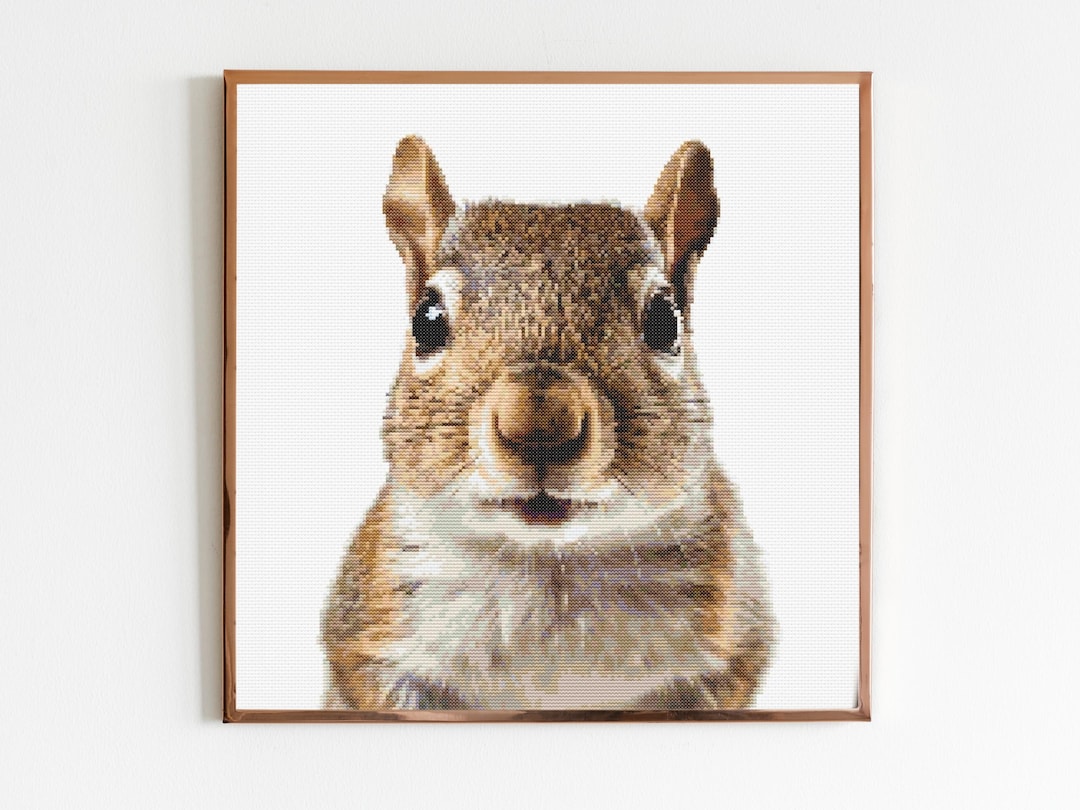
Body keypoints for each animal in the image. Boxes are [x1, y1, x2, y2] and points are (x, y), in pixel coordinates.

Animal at [322, 136, 774, 711]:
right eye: (427, 320)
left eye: (664, 321)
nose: (538, 423)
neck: (546, 569)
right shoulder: (375, 642)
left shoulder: (728, 643)